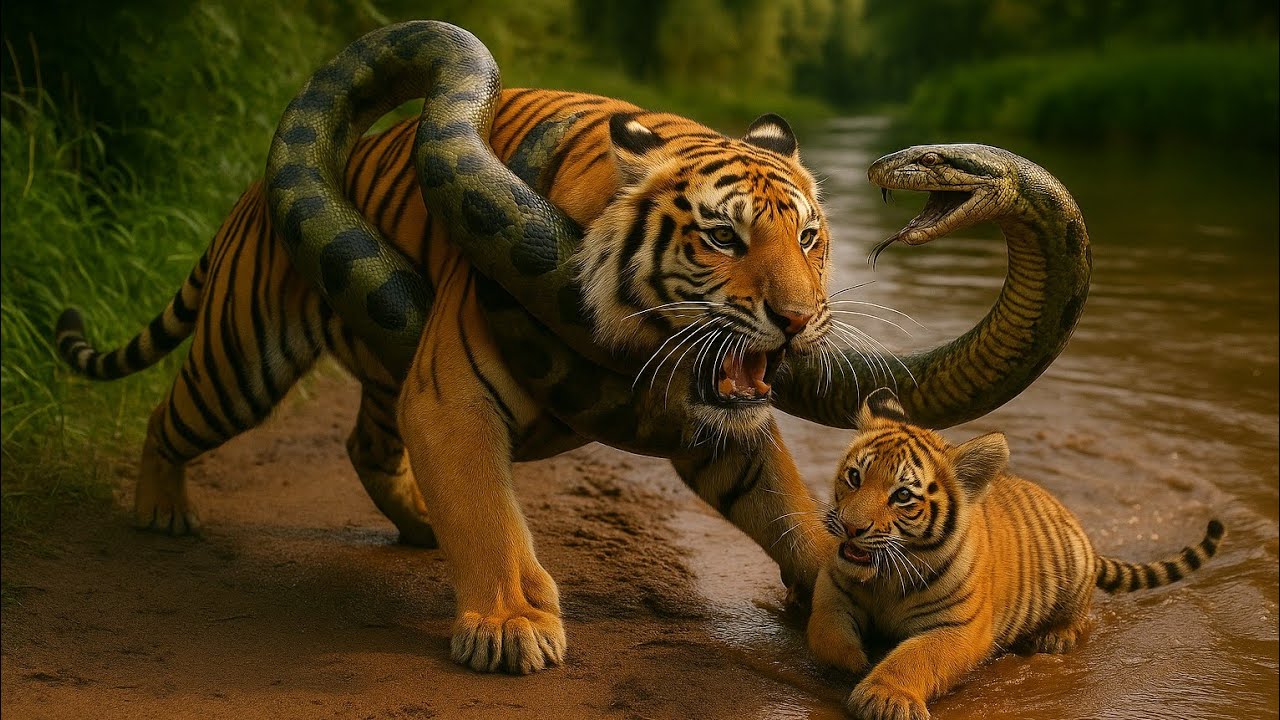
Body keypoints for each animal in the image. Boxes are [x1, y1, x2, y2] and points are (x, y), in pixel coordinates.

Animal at [55, 89, 834, 674]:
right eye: (723, 238)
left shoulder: (720, 426)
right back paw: (160, 511)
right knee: (167, 420)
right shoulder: (453, 397)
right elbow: (487, 514)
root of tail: (247, 195)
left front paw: (841, 586)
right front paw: (511, 625)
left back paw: (422, 522)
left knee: (366, 446)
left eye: (808, 238)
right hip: (237, 364)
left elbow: (787, 505)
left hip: (375, 371)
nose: (798, 319)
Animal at [805, 388, 1224, 720]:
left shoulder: (959, 628)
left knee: (1079, 615)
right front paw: (855, 662)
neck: (885, 578)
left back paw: (1056, 638)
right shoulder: (833, 588)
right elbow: (825, 632)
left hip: (1074, 574)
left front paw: (885, 697)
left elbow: (916, 657)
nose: (850, 527)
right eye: (854, 477)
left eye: (903, 496)